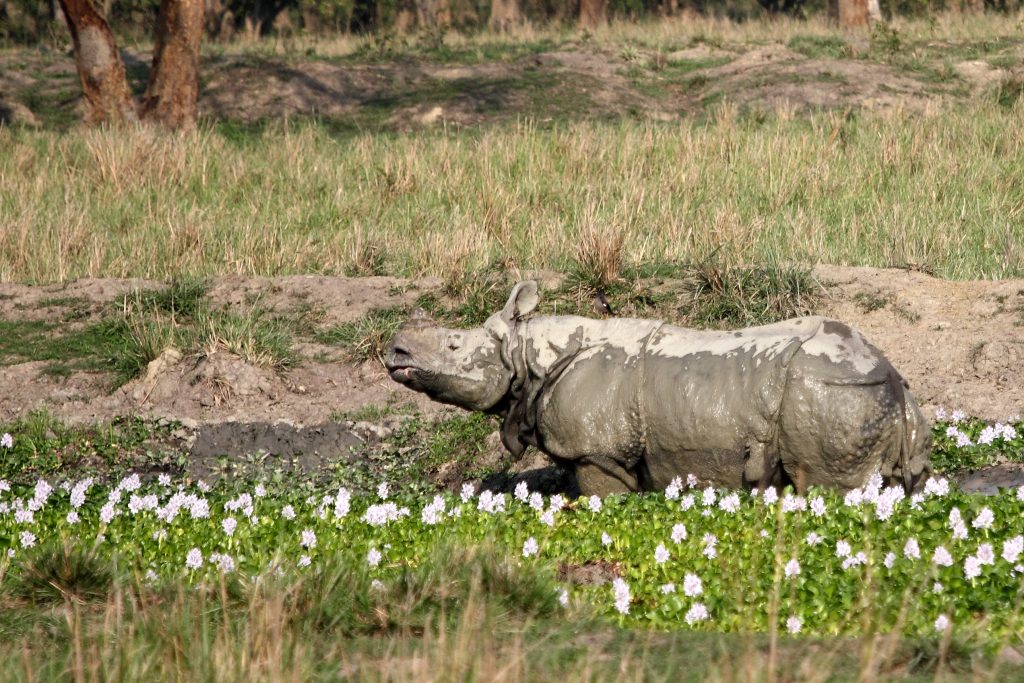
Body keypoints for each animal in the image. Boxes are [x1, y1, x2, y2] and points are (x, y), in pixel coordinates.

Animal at [384, 281, 932, 497]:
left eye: (453, 344)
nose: (395, 352)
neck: (527, 354)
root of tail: (890, 373)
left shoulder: (598, 453)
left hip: (831, 392)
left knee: (829, 487)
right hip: (875, 396)